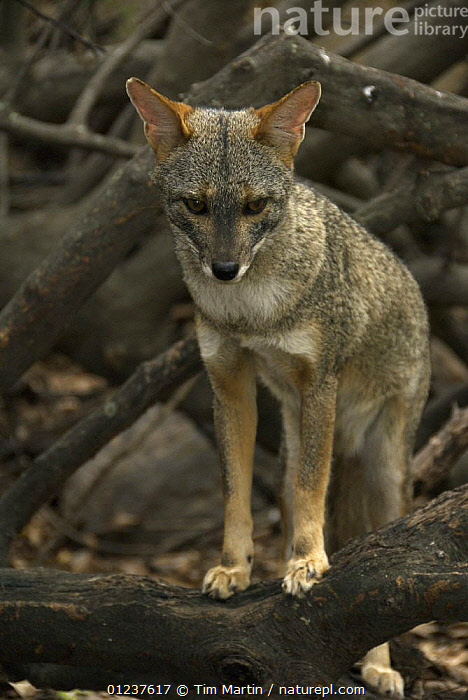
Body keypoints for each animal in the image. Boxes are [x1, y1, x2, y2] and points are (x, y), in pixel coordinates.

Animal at [126, 77, 430, 697]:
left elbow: (317, 491)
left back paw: (379, 665)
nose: (223, 269)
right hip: (289, 450)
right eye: (195, 205)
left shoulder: (320, 384)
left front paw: (309, 562)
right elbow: (234, 490)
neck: (251, 310)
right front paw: (235, 567)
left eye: (255, 206)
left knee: (387, 569)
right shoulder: (228, 383)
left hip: (387, 471)